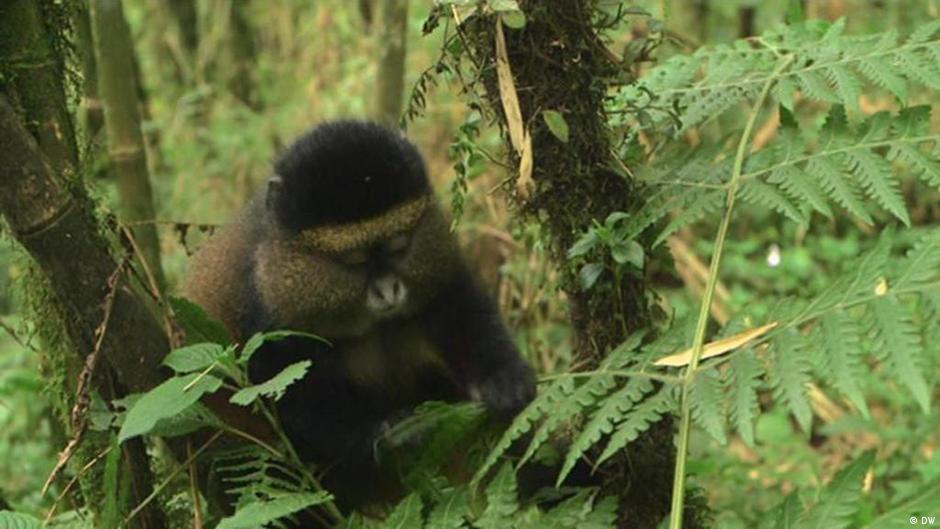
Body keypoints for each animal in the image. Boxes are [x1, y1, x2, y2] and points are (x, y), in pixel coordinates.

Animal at [183, 120, 537, 511]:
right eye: (355, 261)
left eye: (399, 246)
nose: (389, 290)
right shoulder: (262, 319)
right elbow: (291, 398)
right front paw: (391, 431)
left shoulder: (437, 265)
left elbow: (457, 306)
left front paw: (502, 379)